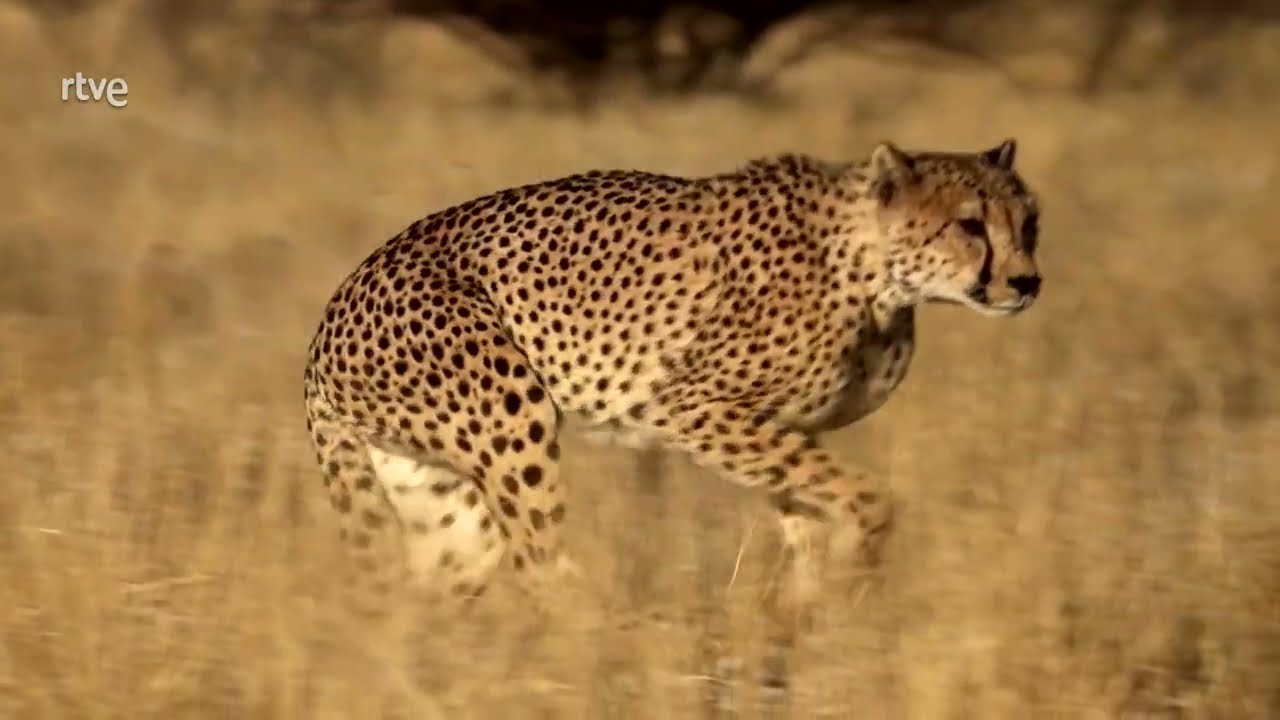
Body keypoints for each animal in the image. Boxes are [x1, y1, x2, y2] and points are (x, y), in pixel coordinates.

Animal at [302, 138, 1042, 628]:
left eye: (1029, 222)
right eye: (969, 224)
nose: (1026, 282)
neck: (876, 269)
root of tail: (331, 314)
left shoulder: (780, 429)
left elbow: (807, 511)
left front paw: (801, 613)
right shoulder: (692, 406)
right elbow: (867, 497)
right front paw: (852, 573)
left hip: (440, 497)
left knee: (427, 594)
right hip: (513, 418)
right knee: (539, 562)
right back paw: (608, 645)